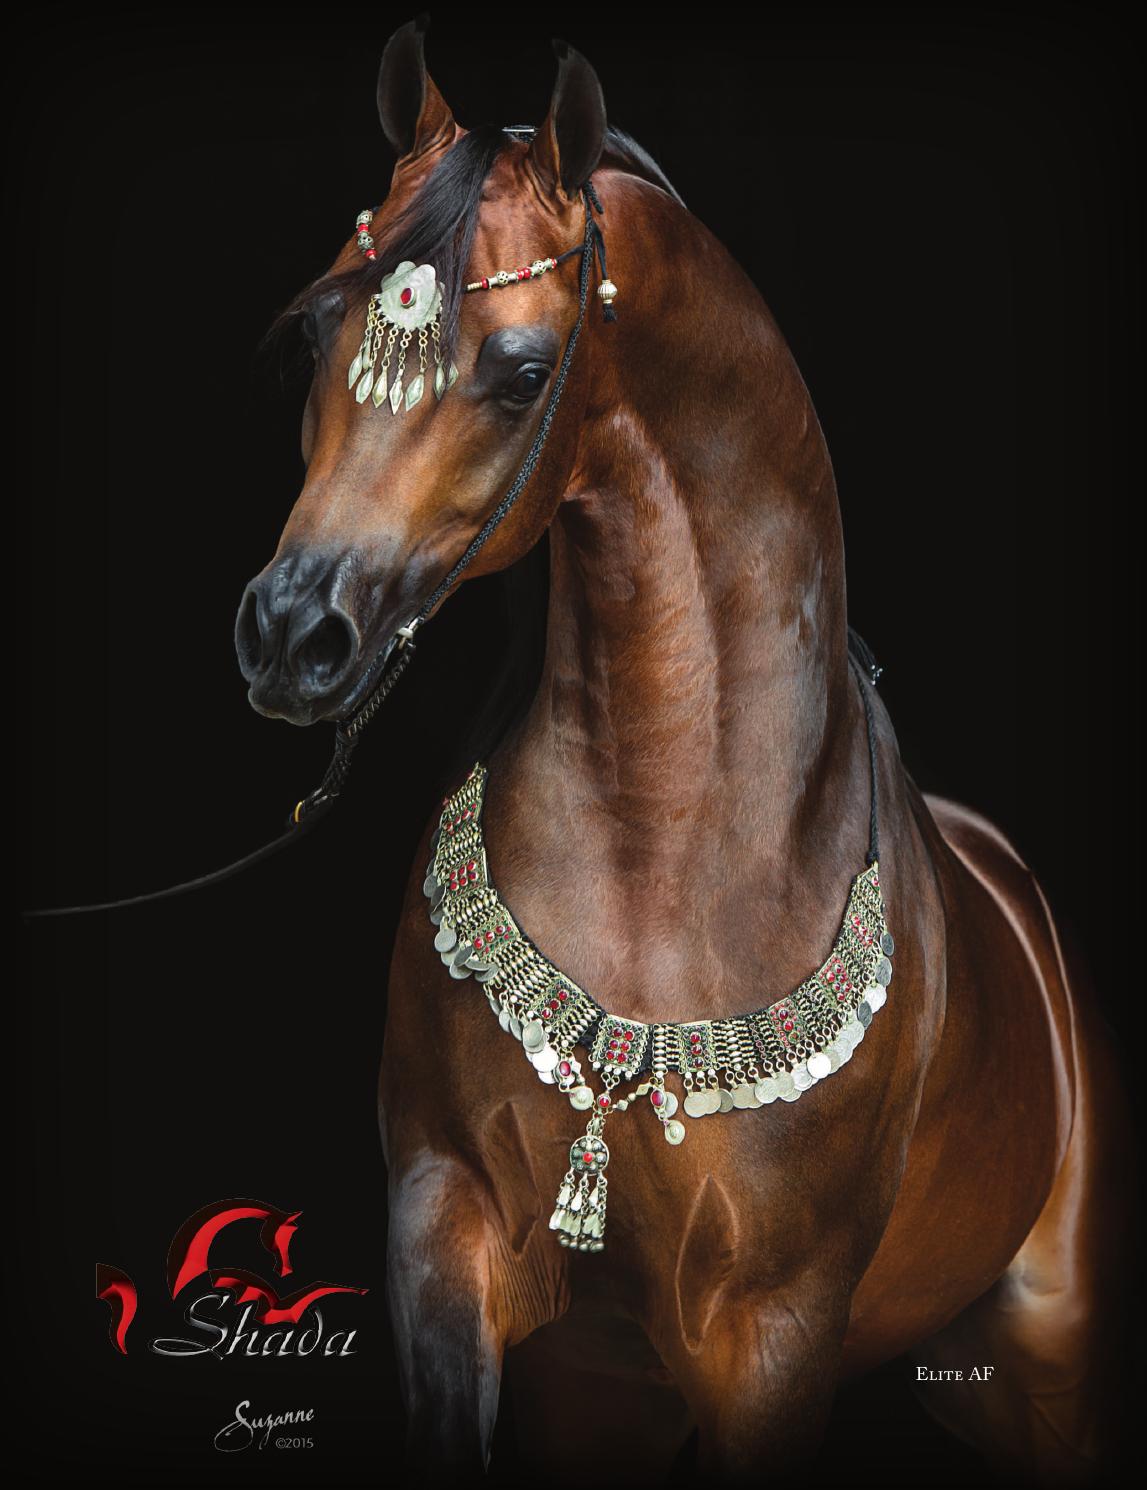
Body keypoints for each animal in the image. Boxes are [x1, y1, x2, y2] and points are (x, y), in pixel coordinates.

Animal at [234, 19, 1129, 1483]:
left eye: (521, 374)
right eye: (313, 328)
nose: (290, 633)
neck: (661, 850)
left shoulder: (773, 1334)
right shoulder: (451, 1232)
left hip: (1044, 1368)